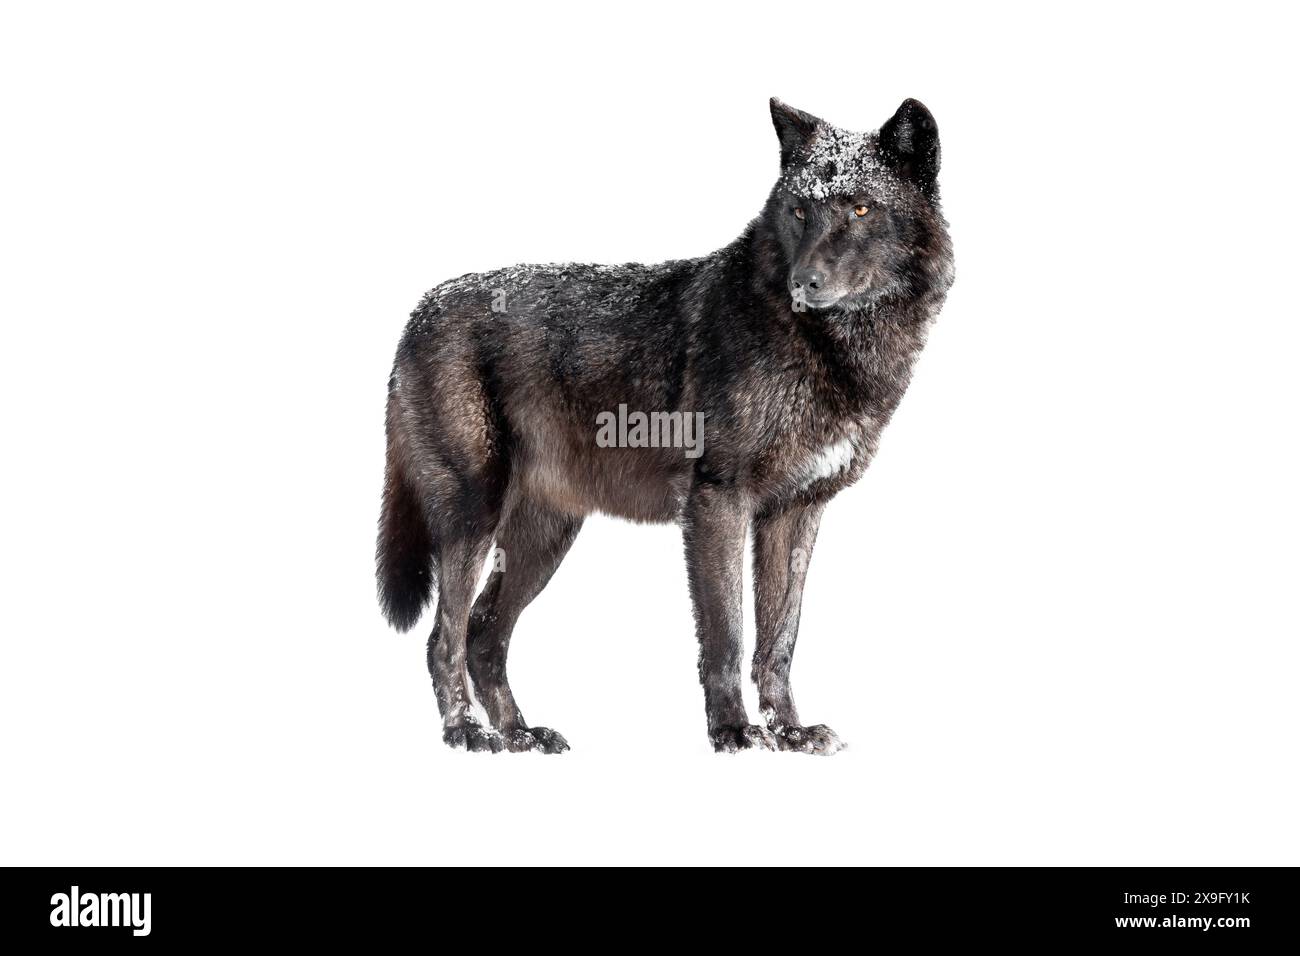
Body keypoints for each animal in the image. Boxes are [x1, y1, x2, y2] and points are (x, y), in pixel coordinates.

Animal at [378, 98, 954, 754]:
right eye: (799, 210)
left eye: (861, 208)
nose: (802, 282)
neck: (825, 348)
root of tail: (418, 311)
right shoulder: (717, 502)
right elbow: (728, 634)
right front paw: (733, 731)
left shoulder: (796, 511)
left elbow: (779, 639)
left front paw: (791, 730)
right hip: (474, 518)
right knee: (443, 637)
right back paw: (468, 733)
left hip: (544, 538)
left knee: (483, 634)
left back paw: (522, 734)